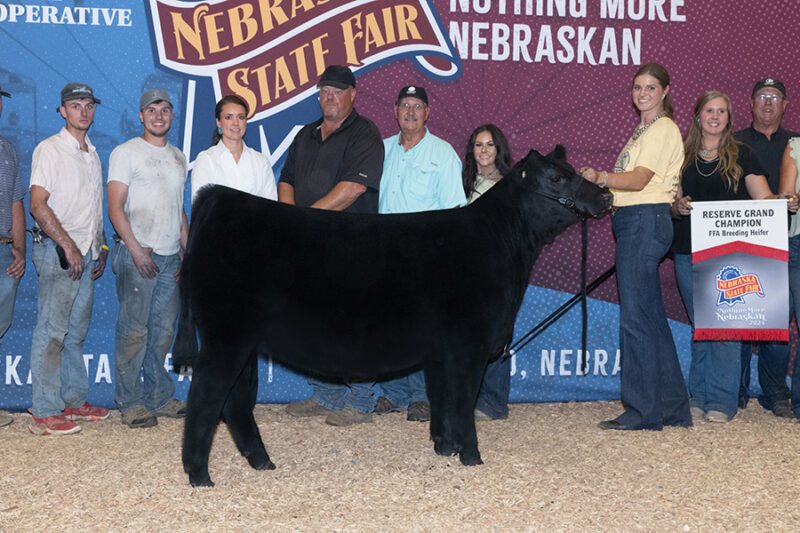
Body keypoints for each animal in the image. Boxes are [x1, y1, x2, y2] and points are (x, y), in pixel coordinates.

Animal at [174, 146, 612, 486]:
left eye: (575, 172)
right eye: (556, 179)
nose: (606, 196)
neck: (501, 243)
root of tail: (218, 199)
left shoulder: (443, 352)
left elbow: (442, 399)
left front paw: (444, 447)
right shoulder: (469, 345)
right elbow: (462, 401)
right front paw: (471, 456)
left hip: (244, 342)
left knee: (235, 403)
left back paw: (261, 462)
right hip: (224, 338)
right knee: (205, 398)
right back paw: (199, 475)